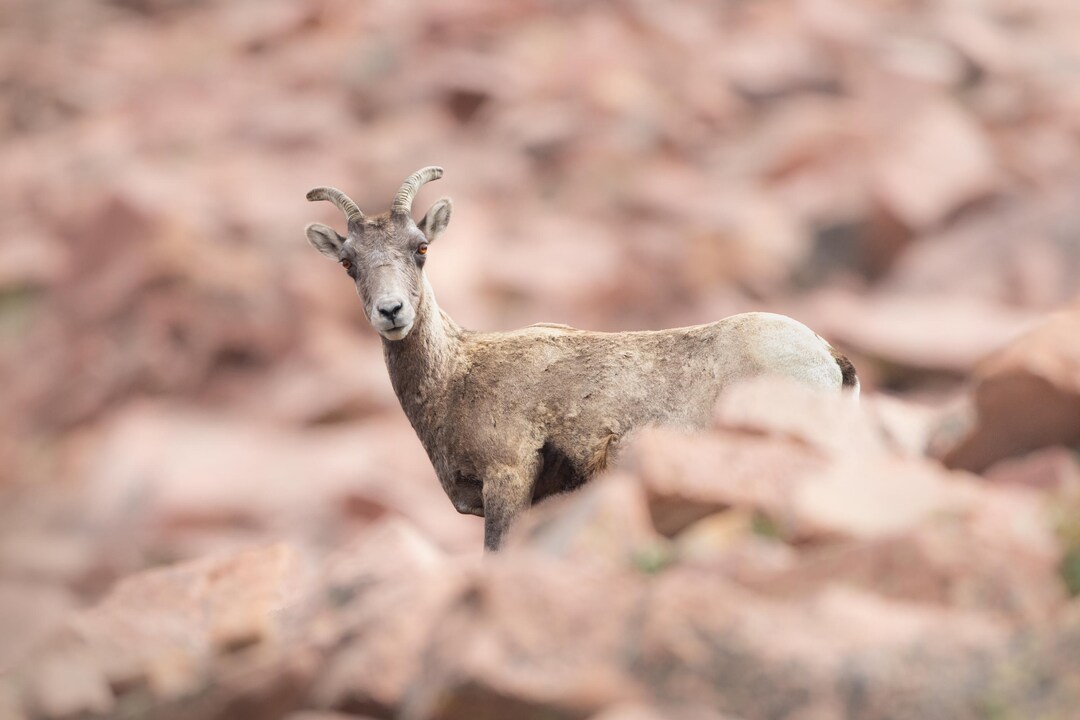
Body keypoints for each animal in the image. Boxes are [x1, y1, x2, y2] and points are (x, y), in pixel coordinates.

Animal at [305, 166, 858, 550]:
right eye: (348, 262)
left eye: (420, 248)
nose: (391, 311)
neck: (456, 376)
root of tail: (830, 359)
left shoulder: (508, 482)